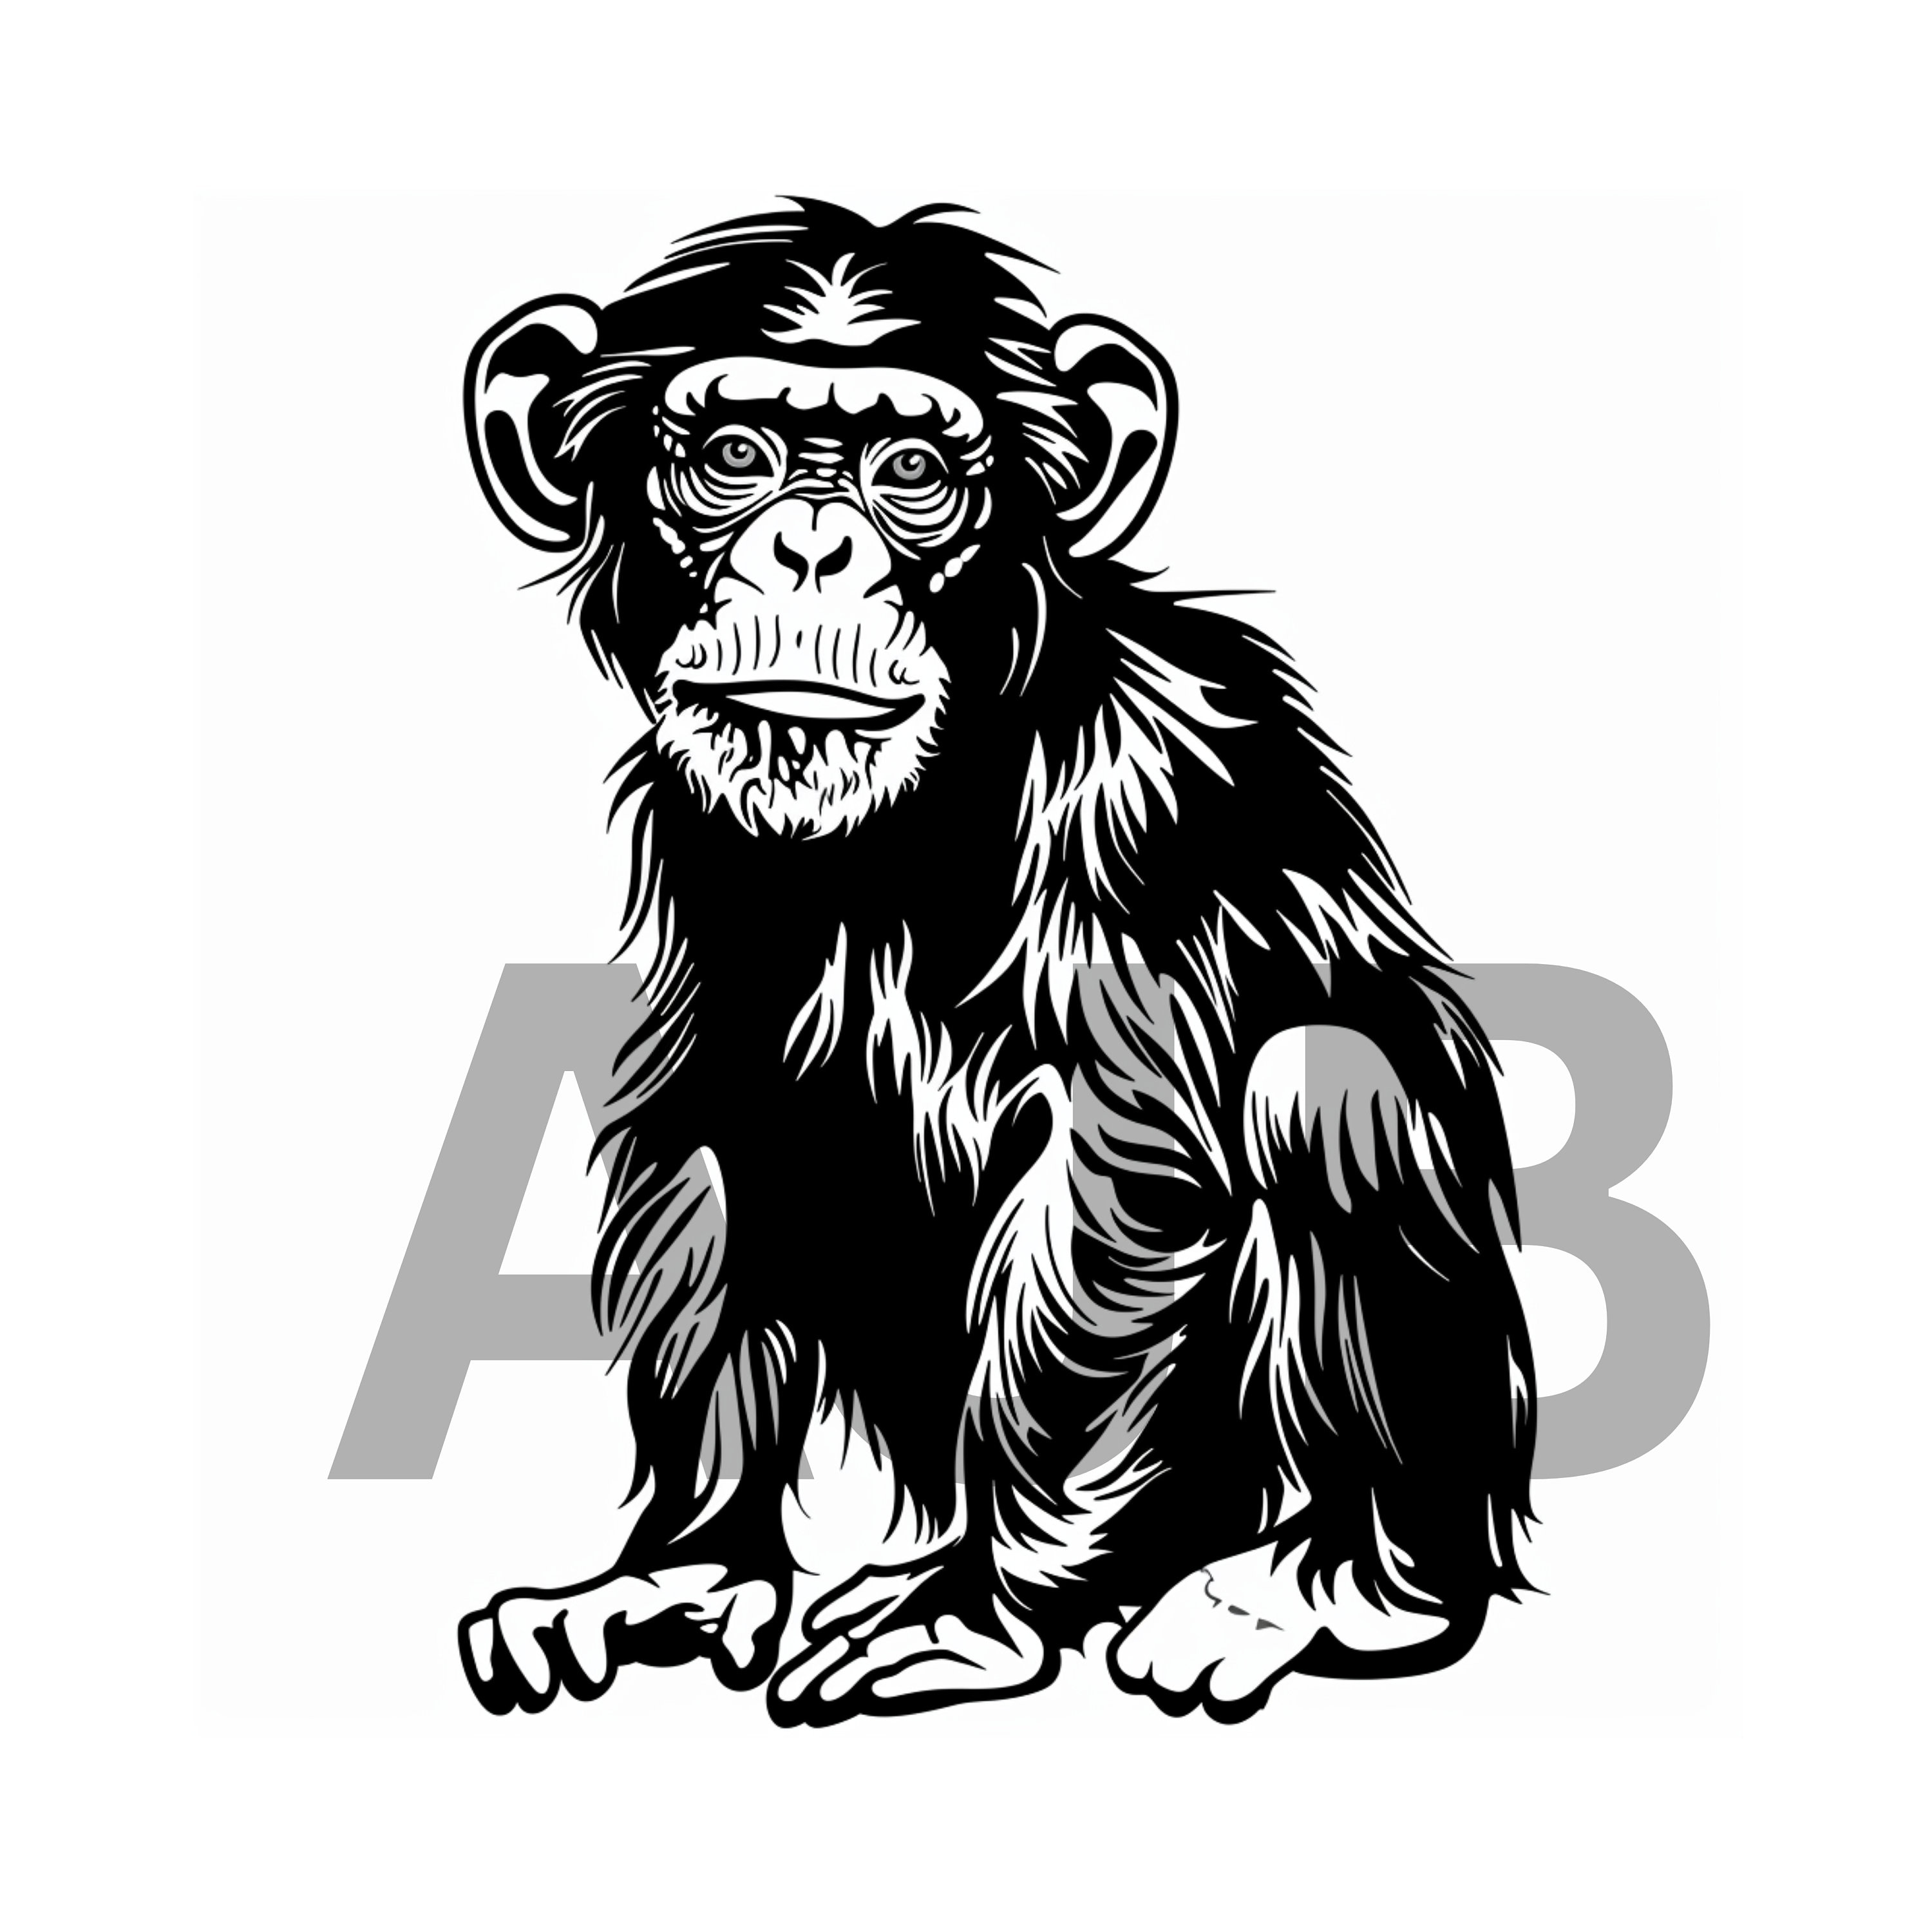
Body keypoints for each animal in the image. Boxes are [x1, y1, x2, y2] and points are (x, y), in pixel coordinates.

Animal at [456, 200, 1536, 1724]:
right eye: (736, 458)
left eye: (911, 472)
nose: (812, 553)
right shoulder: (706, 839)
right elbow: (726, 1121)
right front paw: (682, 1569)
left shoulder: (1144, 788)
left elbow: (1118, 1157)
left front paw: (972, 1606)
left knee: (1318, 1074)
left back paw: (1321, 1586)